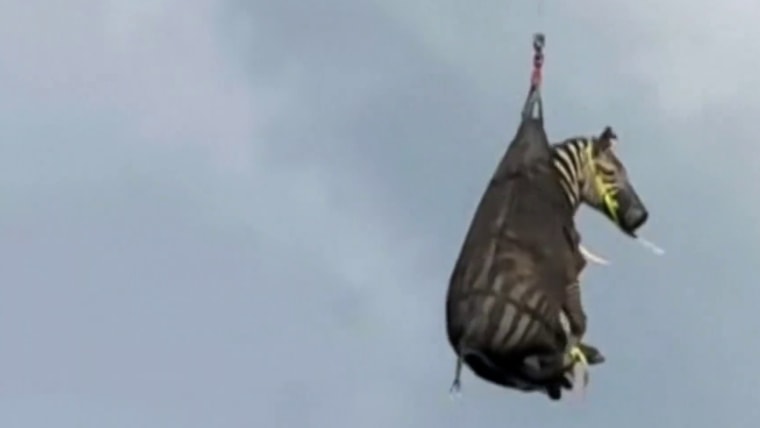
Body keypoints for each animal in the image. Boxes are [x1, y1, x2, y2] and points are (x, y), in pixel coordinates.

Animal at [446, 126, 649, 400]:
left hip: (503, 366)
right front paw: (578, 356)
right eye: (610, 171)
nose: (642, 217)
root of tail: (469, 338)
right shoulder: (571, 268)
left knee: (530, 374)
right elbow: (578, 321)